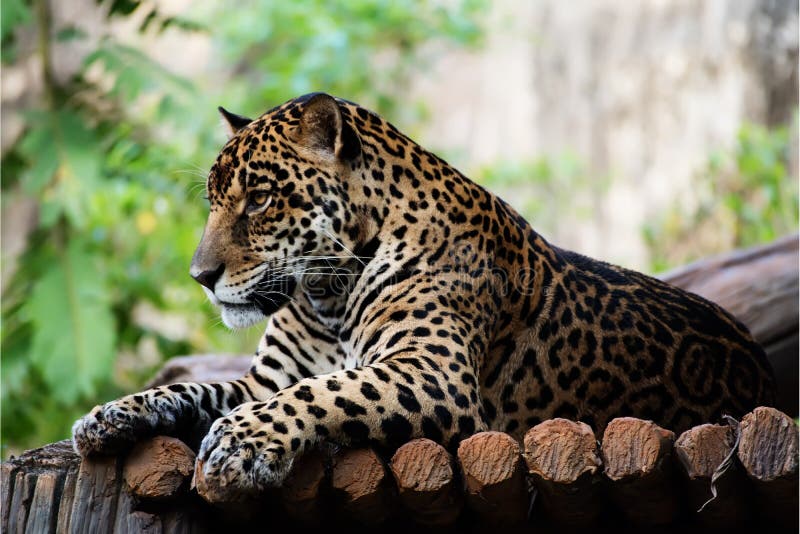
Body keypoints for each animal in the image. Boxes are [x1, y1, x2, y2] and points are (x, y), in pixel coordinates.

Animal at [72, 93, 776, 501]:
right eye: (215, 200)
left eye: (262, 199)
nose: (200, 276)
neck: (325, 296)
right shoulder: (260, 381)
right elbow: (192, 390)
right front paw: (109, 415)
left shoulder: (433, 371)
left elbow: (325, 392)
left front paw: (240, 446)